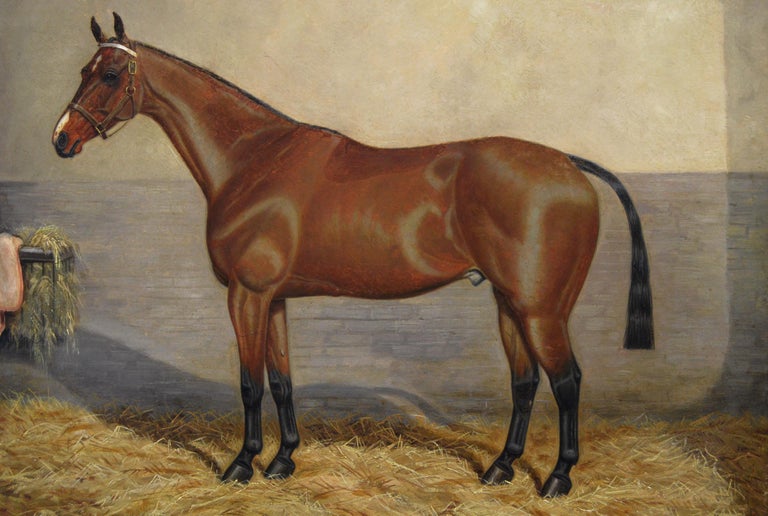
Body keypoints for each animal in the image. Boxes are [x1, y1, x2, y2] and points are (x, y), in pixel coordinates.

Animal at [52, 14, 653, 498]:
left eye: (110, 75)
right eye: (83, 69)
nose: (61, 138)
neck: (253, 160)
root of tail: (569, 165)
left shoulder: (246, 295)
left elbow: (249, 383)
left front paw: (243, 464)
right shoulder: (273, 299)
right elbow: (281, 380)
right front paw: (283, 461)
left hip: (540, 310)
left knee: (567, 381)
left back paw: (558, 479)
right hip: (509, 304)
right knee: (525, 383)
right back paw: (500, 469)